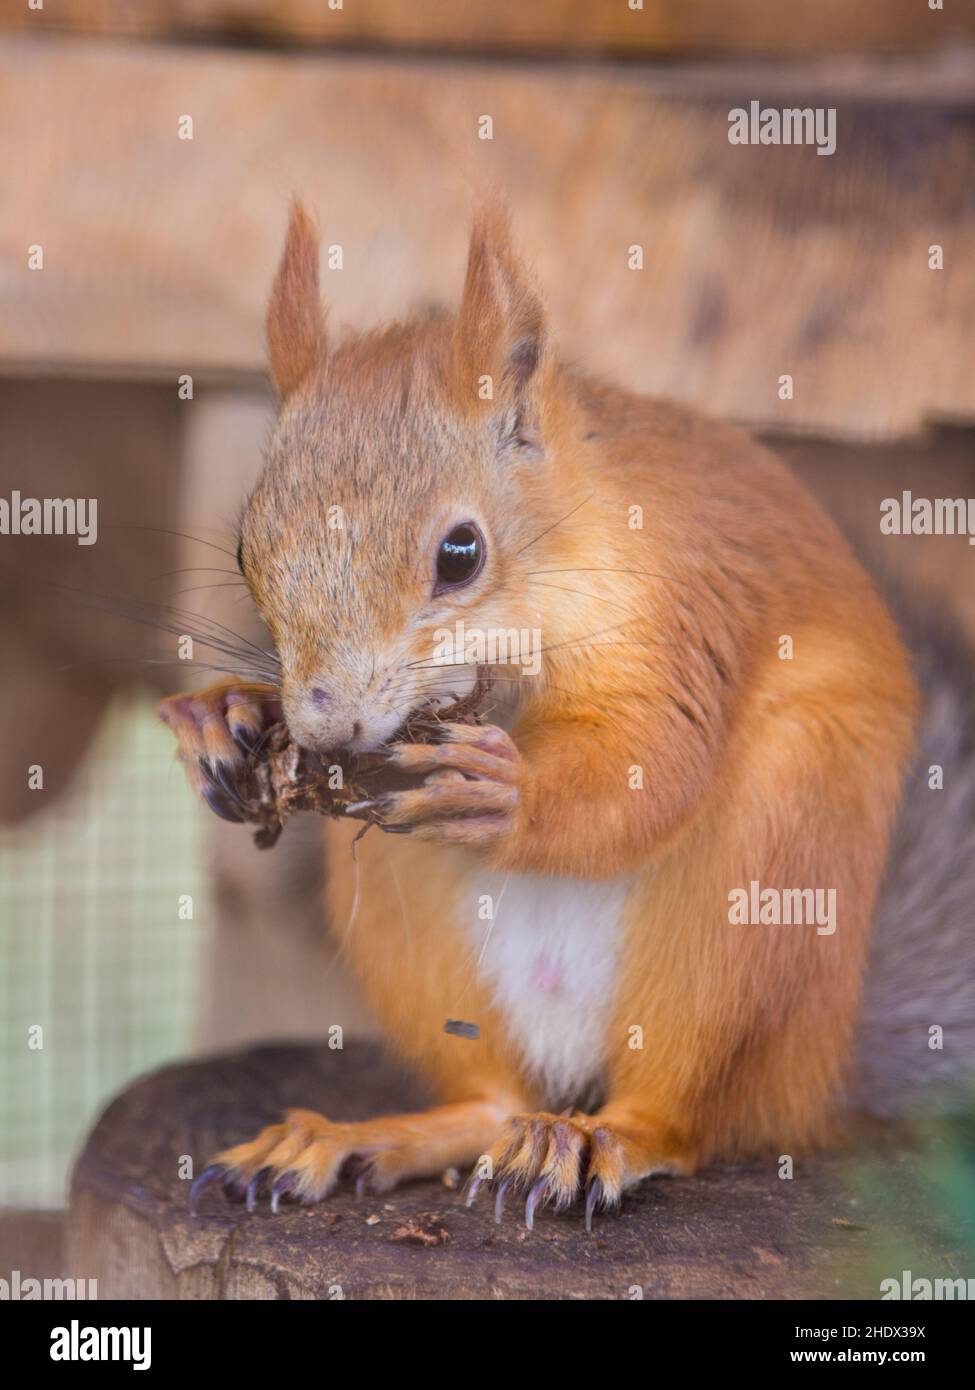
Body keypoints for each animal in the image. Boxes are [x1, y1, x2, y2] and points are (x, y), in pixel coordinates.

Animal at [159, 199, 951, 1231]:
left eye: (460, 553)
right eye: (247, 551)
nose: (327, 727)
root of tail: (819, 1077)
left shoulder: (675, 612)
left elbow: (654, 766)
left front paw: (507, 796)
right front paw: (222, 717)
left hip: (765, 881)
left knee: (687, 1116)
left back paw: (601, 1139)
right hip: (419, 931)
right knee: (490, 1101)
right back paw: (362, 1137)